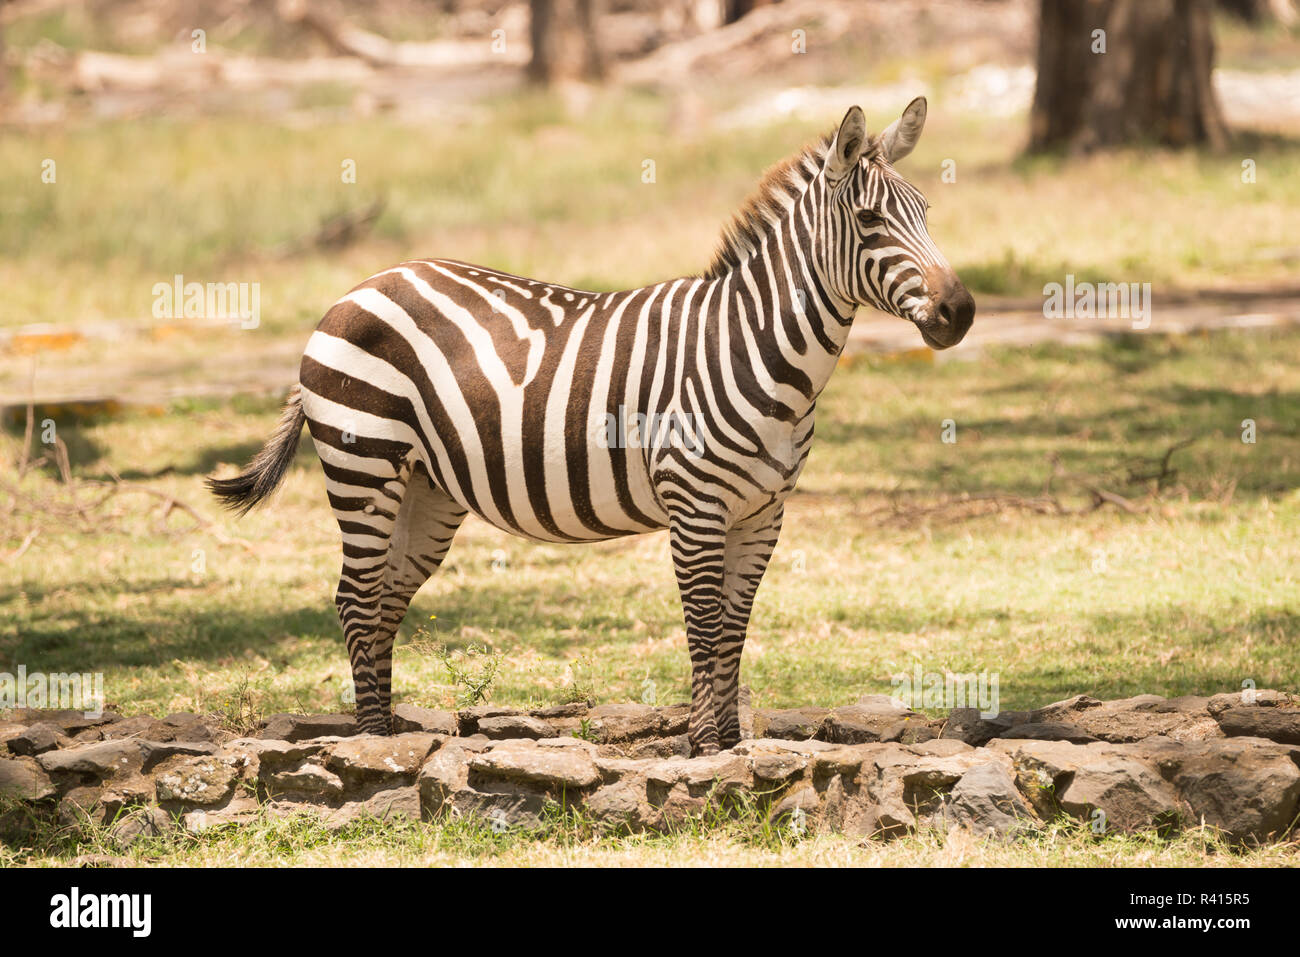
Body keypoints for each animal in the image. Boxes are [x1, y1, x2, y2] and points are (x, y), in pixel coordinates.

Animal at [208, 98, 974, 756]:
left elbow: (734, 628)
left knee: (383, 600)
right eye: (870, 221)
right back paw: (372, 748)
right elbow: (704, 626)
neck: (756, 347)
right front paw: (705, 752)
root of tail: (357, 288)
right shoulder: (695, 505)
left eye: (928, 211)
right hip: (363, 463)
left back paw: (393, 734)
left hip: (425, 488)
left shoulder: (763, 512)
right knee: (357, 598)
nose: (961, 311)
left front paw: (732, 746)